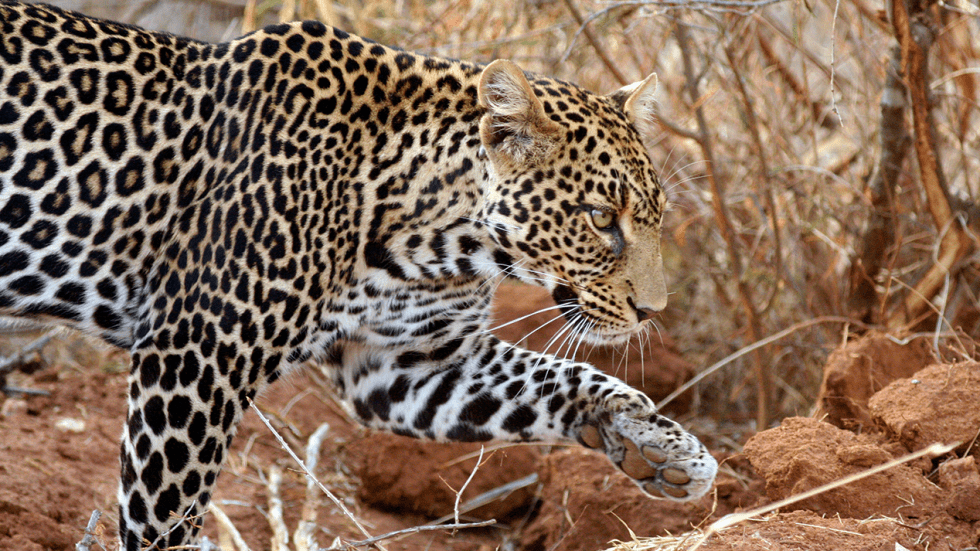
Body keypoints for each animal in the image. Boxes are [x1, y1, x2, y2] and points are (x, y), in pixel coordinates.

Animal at [0, 1, 718, 548]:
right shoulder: (195, 356)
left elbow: (561, 377)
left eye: (654, 217)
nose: (653, 311)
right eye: (599, 217)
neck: (435, 234)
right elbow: (163, 513)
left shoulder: (412, 366)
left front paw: (660, 444)